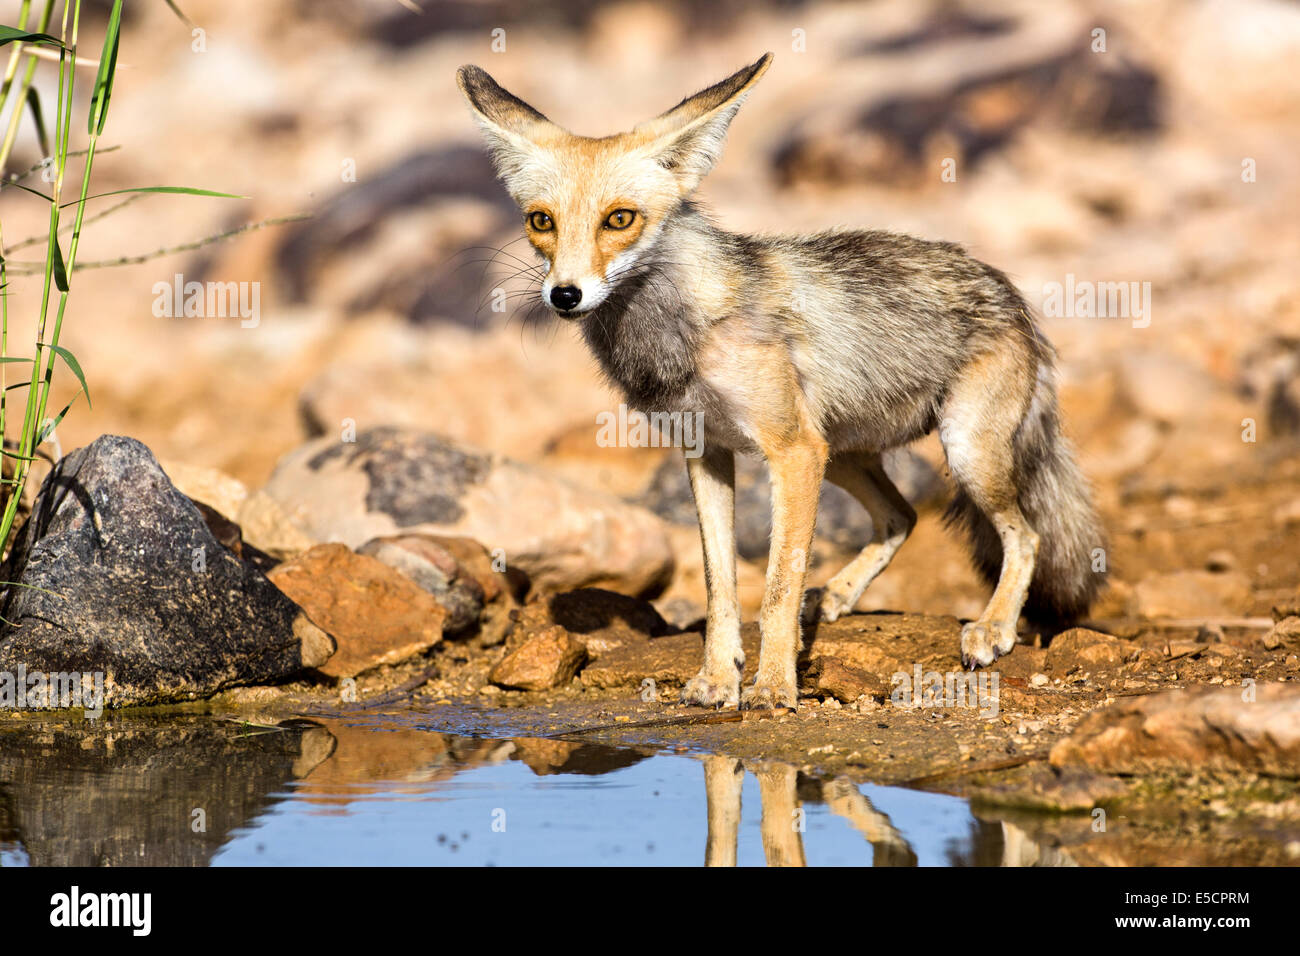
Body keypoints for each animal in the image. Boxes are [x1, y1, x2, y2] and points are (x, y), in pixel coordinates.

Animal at [456, 52, 1104, 710]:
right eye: (541, 221)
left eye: (619, 219)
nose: (565, 295)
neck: (681, 334)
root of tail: (1008, 290)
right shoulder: (708, 452)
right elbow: (719, 589)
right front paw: (719, 678)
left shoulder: (790, 451)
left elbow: (776, 589)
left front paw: (772, 686)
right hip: (842, 453)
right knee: (902, 517)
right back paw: (840, 596)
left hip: (960, 452)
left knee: (1025, 536)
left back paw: (993, 627)